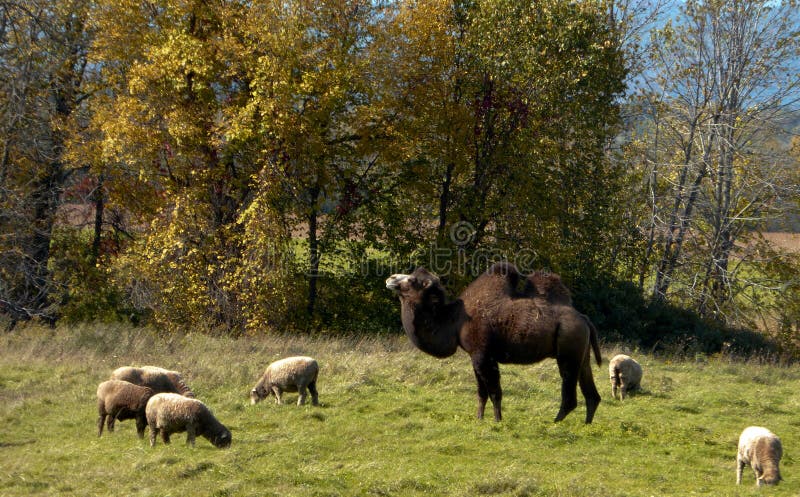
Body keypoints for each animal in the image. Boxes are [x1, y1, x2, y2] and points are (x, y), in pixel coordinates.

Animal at [386, 263, 602, 423]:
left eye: (412, 280)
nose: (390, 278)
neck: (455, 321)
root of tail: (584, 319)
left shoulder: (483, 354)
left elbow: (494, 392)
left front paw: (498, 421)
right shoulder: (476, 356)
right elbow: (481, 392)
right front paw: (479, 419)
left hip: (568, 351)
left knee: (570, 394)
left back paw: (554, 422)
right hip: (582, 353)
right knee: (592, 394)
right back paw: (587, 424)